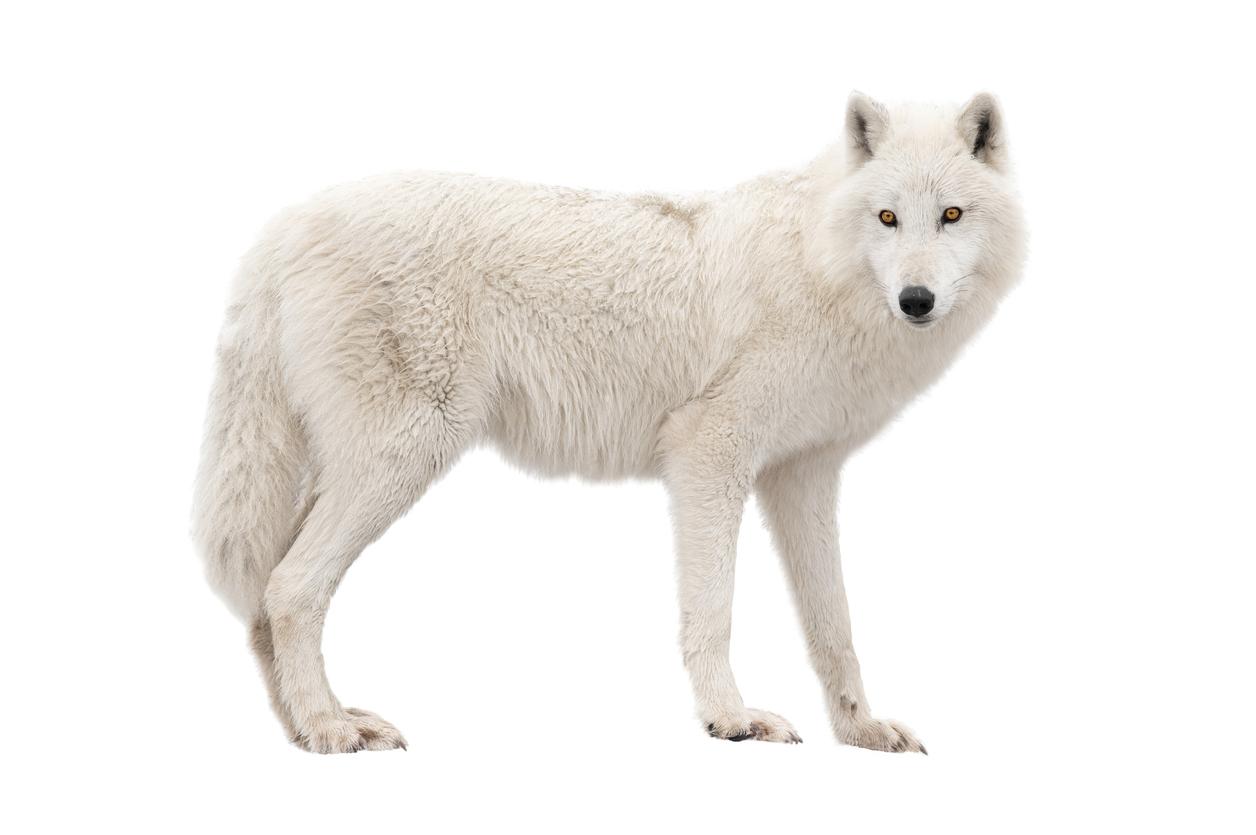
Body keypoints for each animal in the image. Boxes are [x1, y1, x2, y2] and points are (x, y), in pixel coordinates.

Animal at [193, 93, 1026, 754]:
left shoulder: (804, 475)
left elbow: (836, 625)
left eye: (951, 215)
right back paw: (329, 729)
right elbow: (713, 610)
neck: (819, 265)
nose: (916, 300)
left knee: (265, 593)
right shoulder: (708, 451)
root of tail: (285, 225)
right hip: (400, 457)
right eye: (887, 217)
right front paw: (731, 718)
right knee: (291, 586)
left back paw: (308, 725)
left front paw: (860, 730)